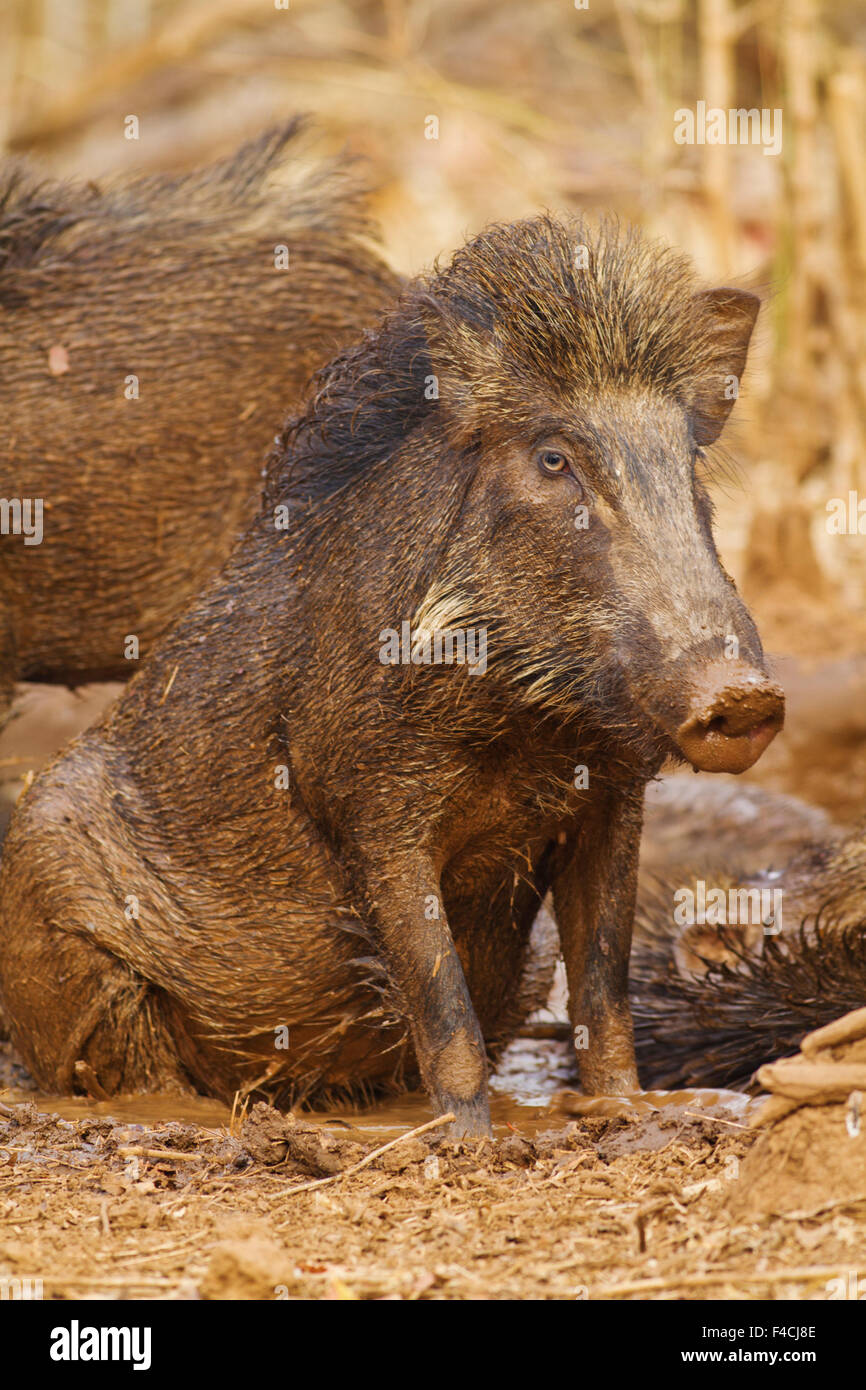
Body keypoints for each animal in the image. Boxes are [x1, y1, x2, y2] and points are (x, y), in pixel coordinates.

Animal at [0, 216, 783, 1135]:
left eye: (687, 463)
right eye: (554, 460)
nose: (743, 696)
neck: (533, 727)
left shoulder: (613, 801)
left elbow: (604, 989)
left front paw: (629, 1115)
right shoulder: (373, 813)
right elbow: (442, 1001)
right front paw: (472, 1143)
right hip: (63, 925)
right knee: (128, 1072)